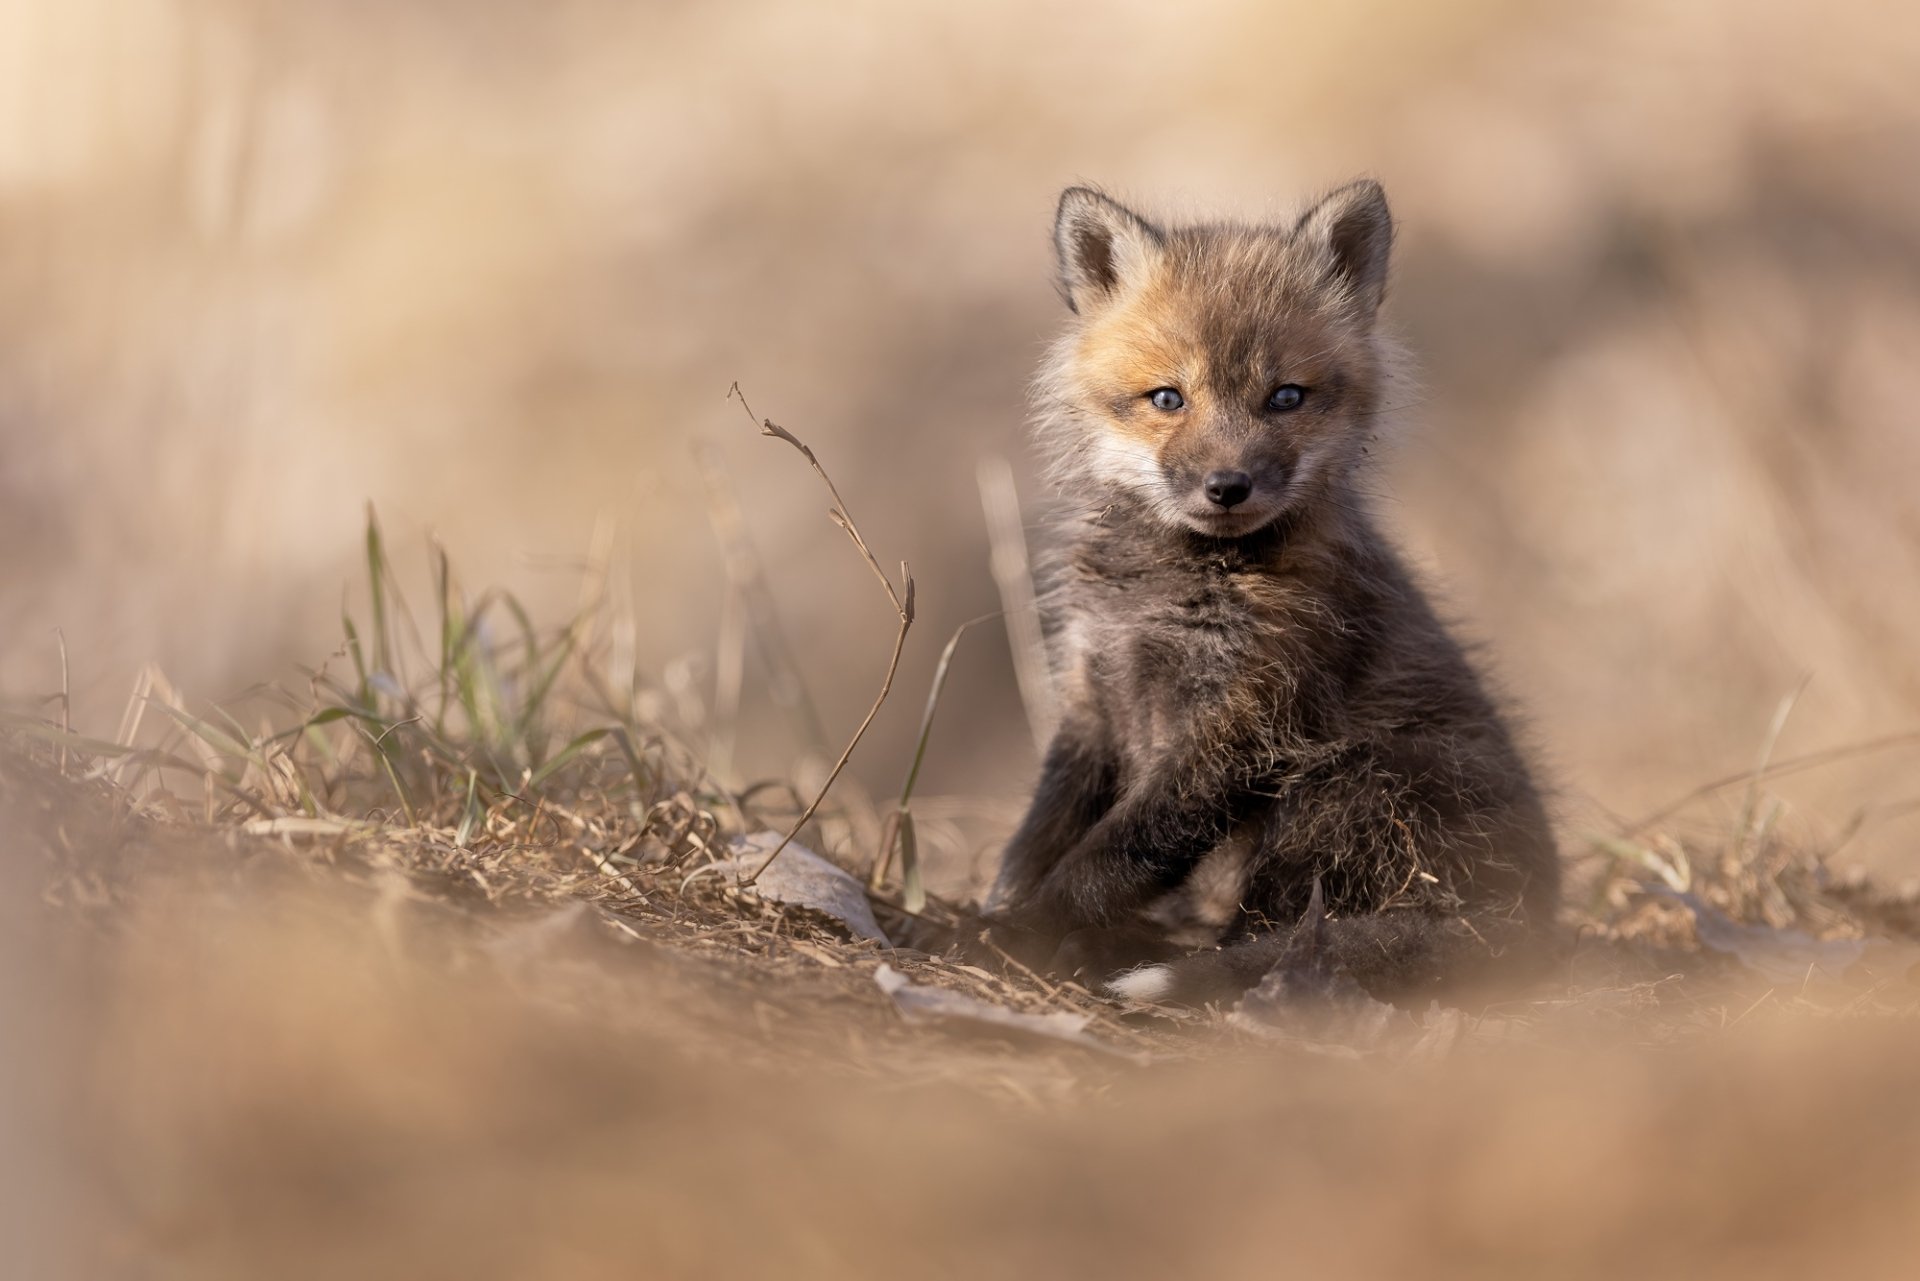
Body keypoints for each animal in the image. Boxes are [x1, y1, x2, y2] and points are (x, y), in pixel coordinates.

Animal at [984, 180, 1560, 1007]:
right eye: (1168, 398)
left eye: (1285, 396)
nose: (1228, 486)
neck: (1170, 588)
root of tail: (1530, 923)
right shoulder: (1094, 688)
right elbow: (1043, 827)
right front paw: (999, 908)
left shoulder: (1252, 717)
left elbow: (1121, 848)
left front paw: (1034, 927)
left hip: (1340, 783)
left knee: (1272, 934)